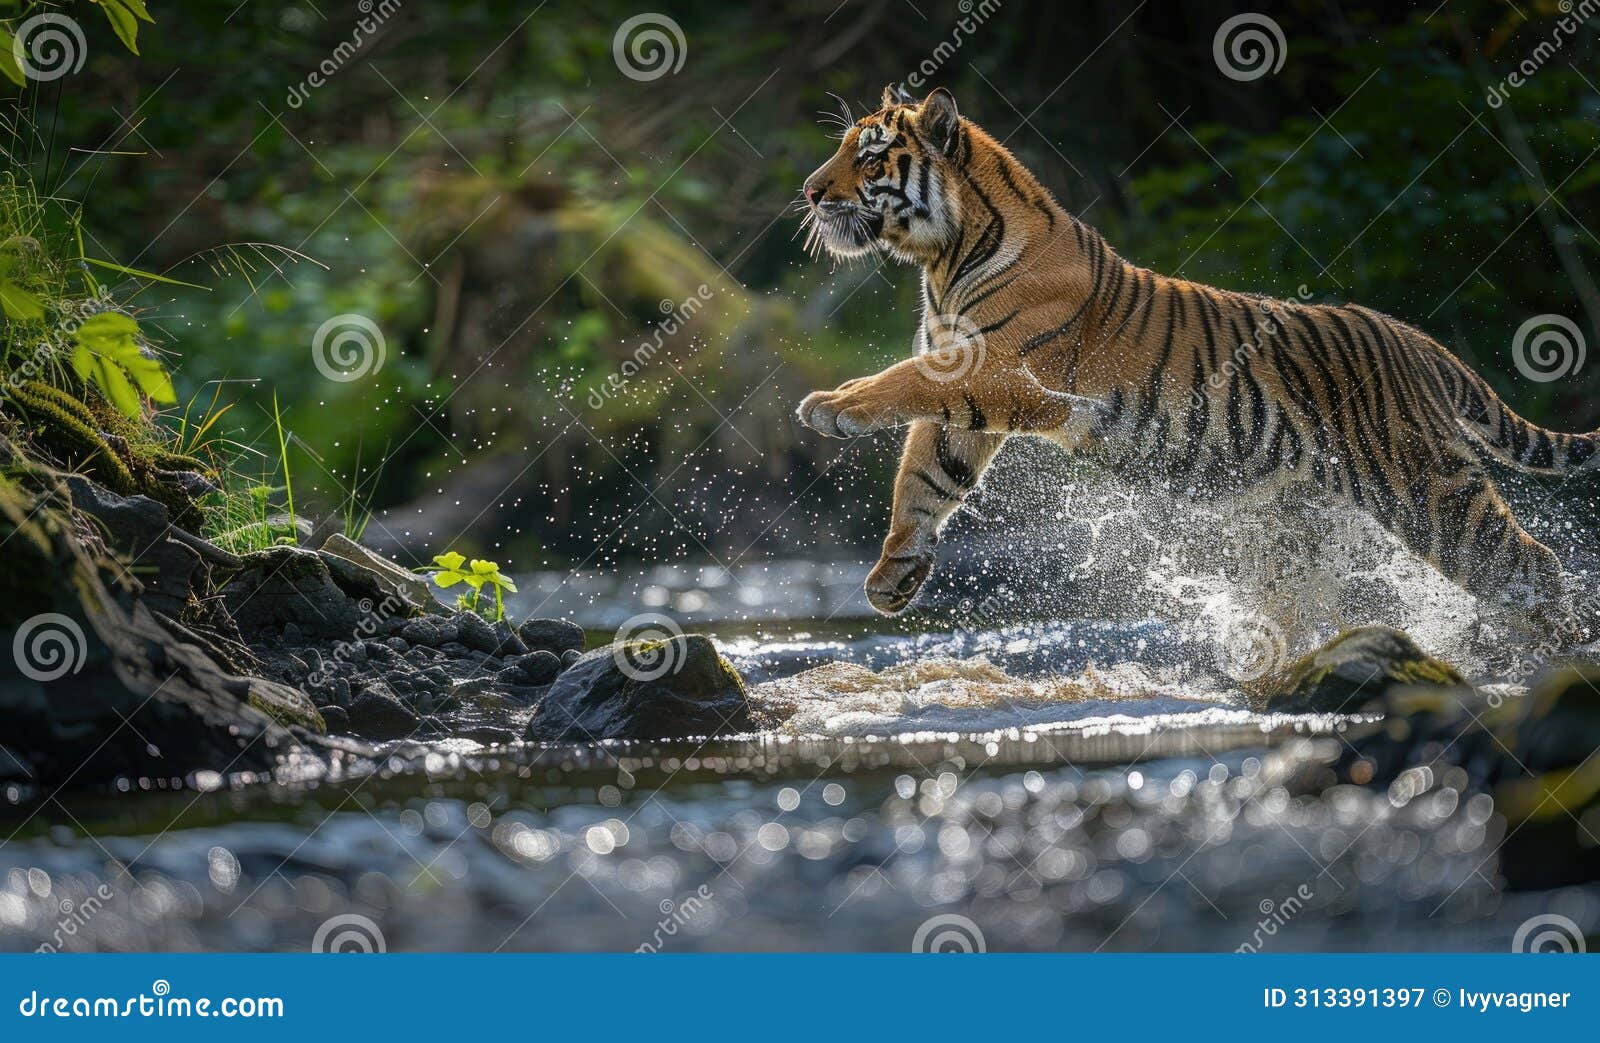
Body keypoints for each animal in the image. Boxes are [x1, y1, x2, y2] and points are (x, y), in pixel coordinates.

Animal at [795, 84, 1597, 625]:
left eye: (869, 157)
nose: (808, 192)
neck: (943, 258)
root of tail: (1417, 340)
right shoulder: (971, 398)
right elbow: (925, 478)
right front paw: (894, 574)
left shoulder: (998, 374)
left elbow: (902, 383)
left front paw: (832, 406)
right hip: (1301, 519)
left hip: (1430, 489)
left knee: (1534, 564)